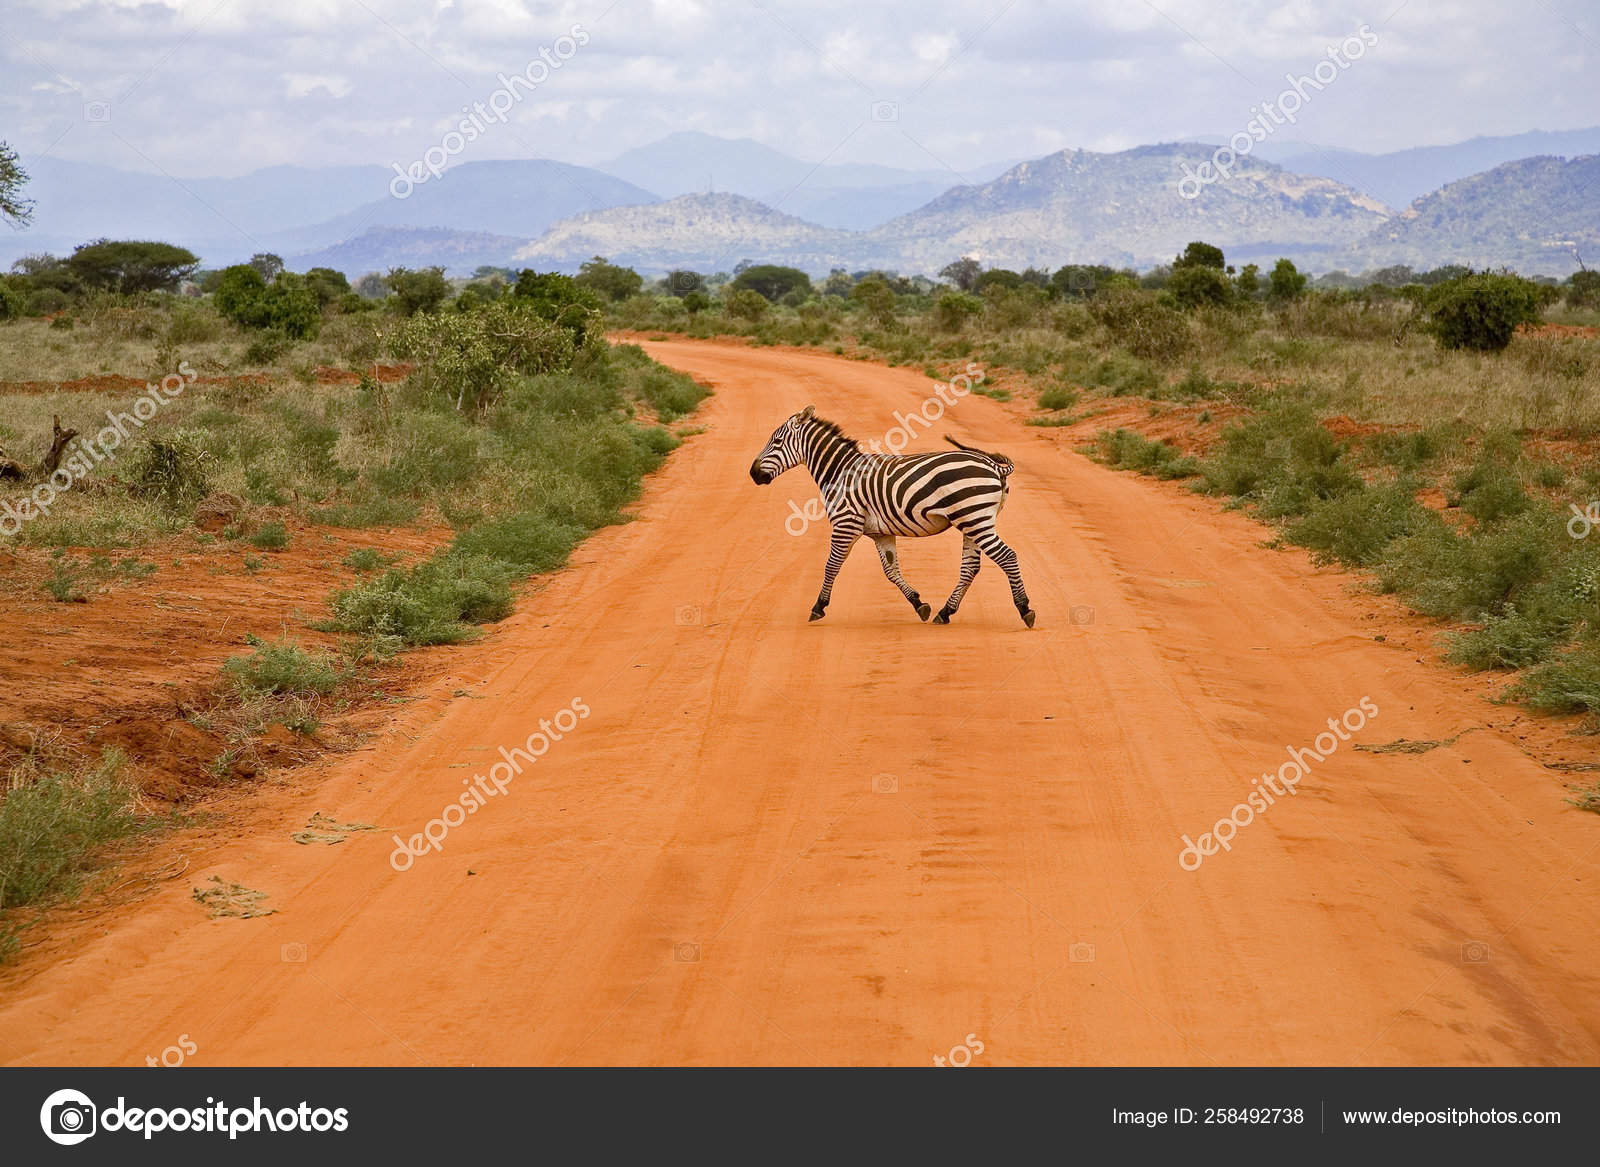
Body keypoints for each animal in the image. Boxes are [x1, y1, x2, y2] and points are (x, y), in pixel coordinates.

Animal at [749, 405, 1036, 627]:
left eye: (776, 442)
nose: (753, 474)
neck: (839, 472)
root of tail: (994, 465)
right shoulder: (880, 532)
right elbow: (891, 570)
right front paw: (919, 604)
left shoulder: (845, 524)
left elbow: (832, 565)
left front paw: (818, 607)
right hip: (971, 521)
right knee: (970, 567)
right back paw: (945, 612)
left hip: (975, 518)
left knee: (1007, 556)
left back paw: (1025, 609)